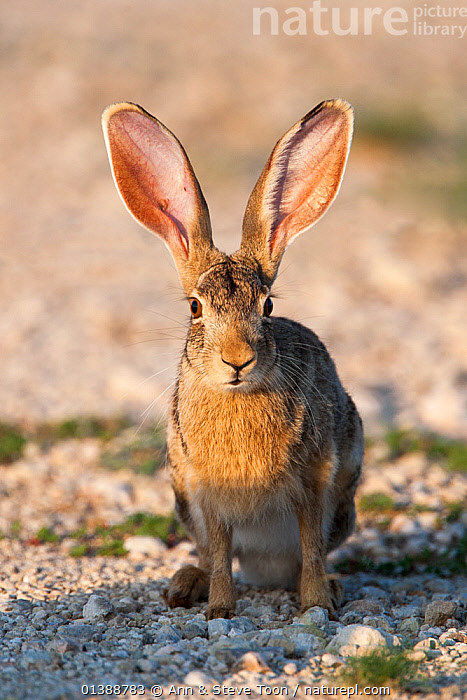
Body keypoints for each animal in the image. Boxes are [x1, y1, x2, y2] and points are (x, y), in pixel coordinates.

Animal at [102, 99, 363, 620]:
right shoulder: (206, 495)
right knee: (208, 555)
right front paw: (221, 611)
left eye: (268, 306)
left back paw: (331, 588)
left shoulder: (312, 482)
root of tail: (265, 565)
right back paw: (185, 586)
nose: (237, 360)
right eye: (195, 307)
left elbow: (309, 546)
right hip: (183, 501)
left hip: (342, 503)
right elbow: (222, 555)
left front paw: (315, 606)